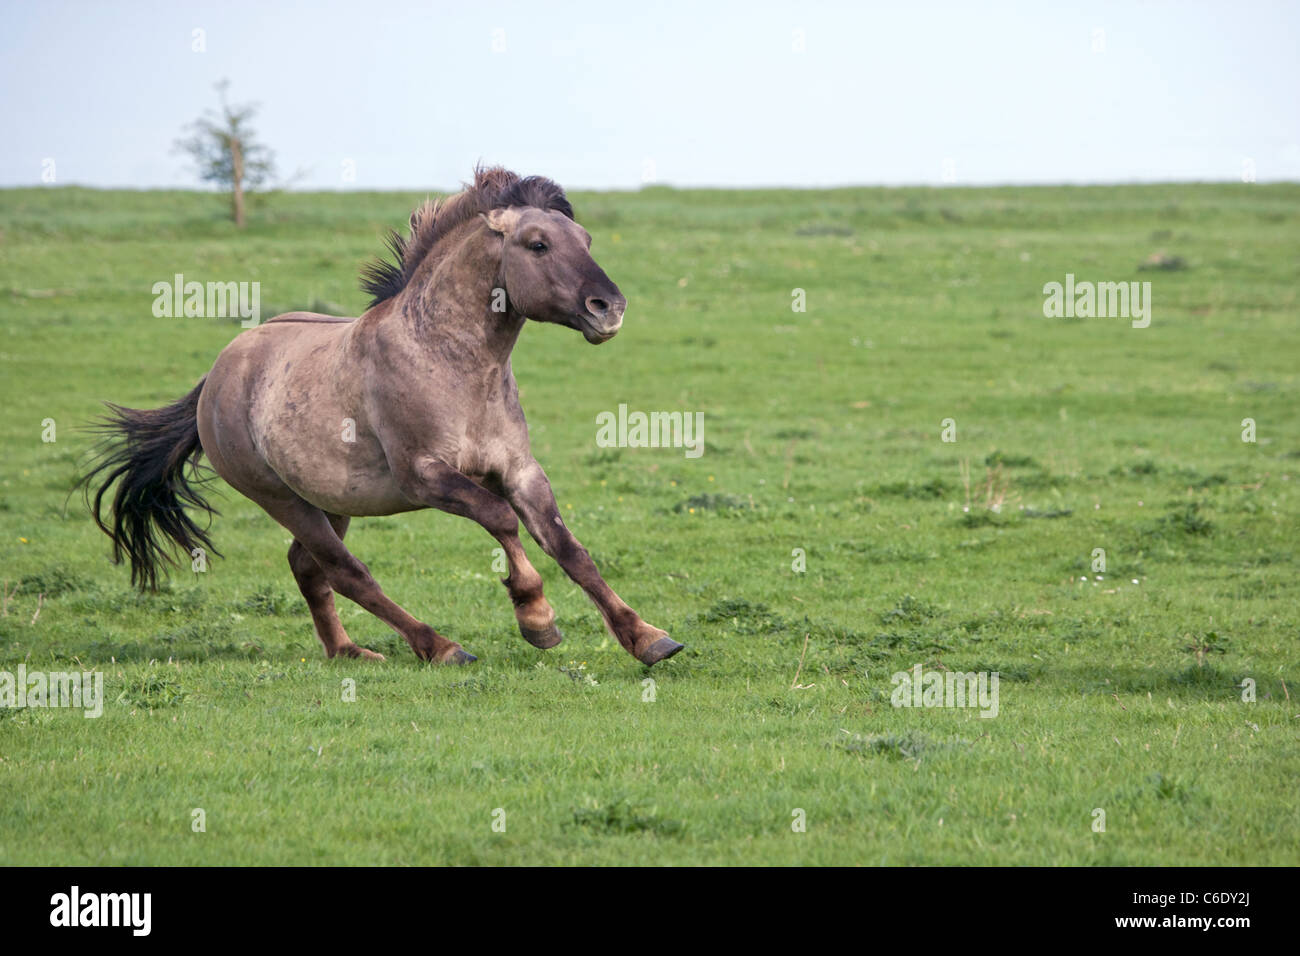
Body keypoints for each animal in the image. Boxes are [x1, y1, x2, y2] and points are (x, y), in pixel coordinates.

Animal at [82, 166, 684, 667]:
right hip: (279, 497)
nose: (609, 308)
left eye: (586, 241)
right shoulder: (425, 477)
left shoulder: (520, 471)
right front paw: (537, 619)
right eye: (538, 244)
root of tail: (217, 375)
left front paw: (647, 638)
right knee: (347, 573)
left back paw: (349, 651)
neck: (451, 361)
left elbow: (569, 548)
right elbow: (500, 519)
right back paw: (439, 647)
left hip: (329, 499)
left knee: (308, 568)